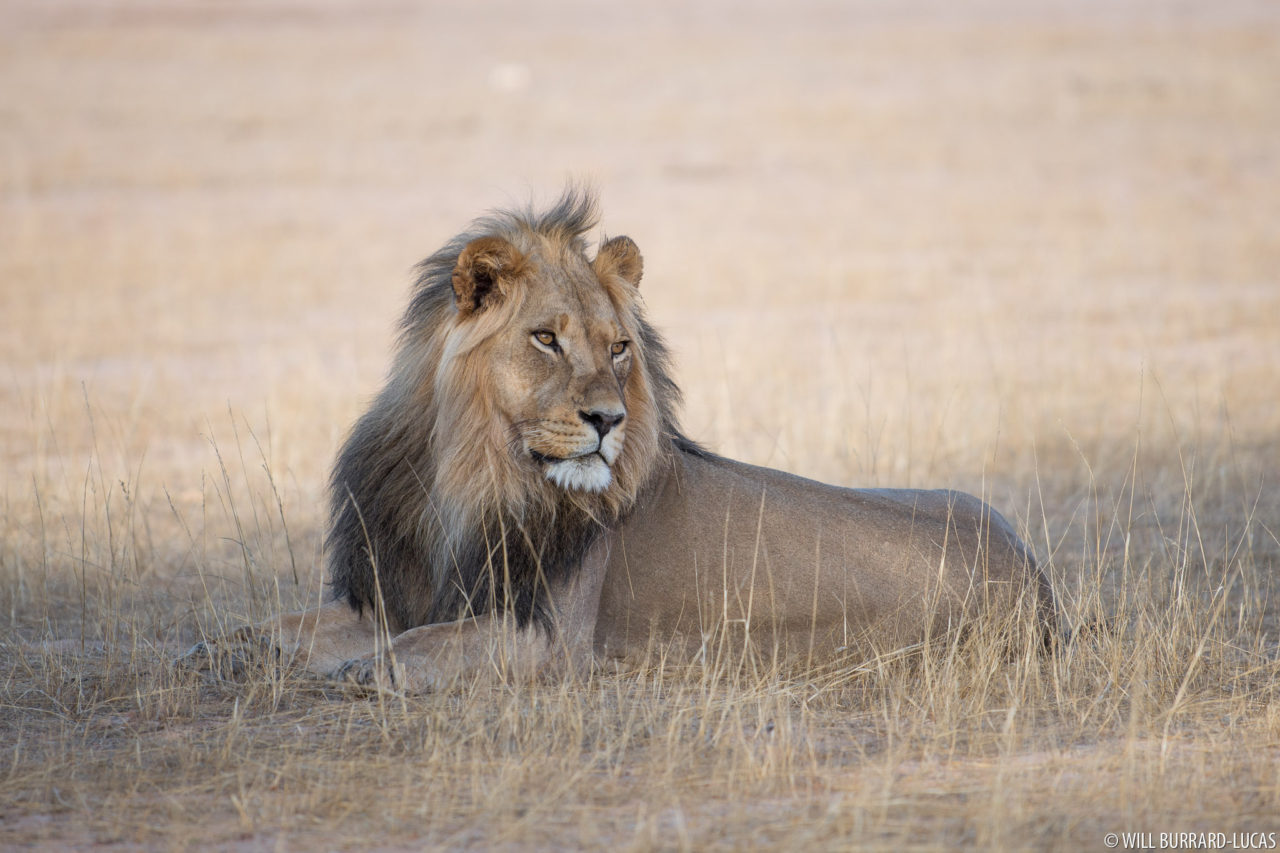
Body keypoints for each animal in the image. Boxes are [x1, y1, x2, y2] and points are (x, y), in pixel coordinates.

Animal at [188, 187, 1055, 691]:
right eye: (545, 338)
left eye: (617, 348)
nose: (608, 420)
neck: (467, 479)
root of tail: (1037, 575)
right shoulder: (391, 592)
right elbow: (282, 630)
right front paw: (215, 651)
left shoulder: (547, 637)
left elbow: (418, 649)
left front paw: (364, 671)